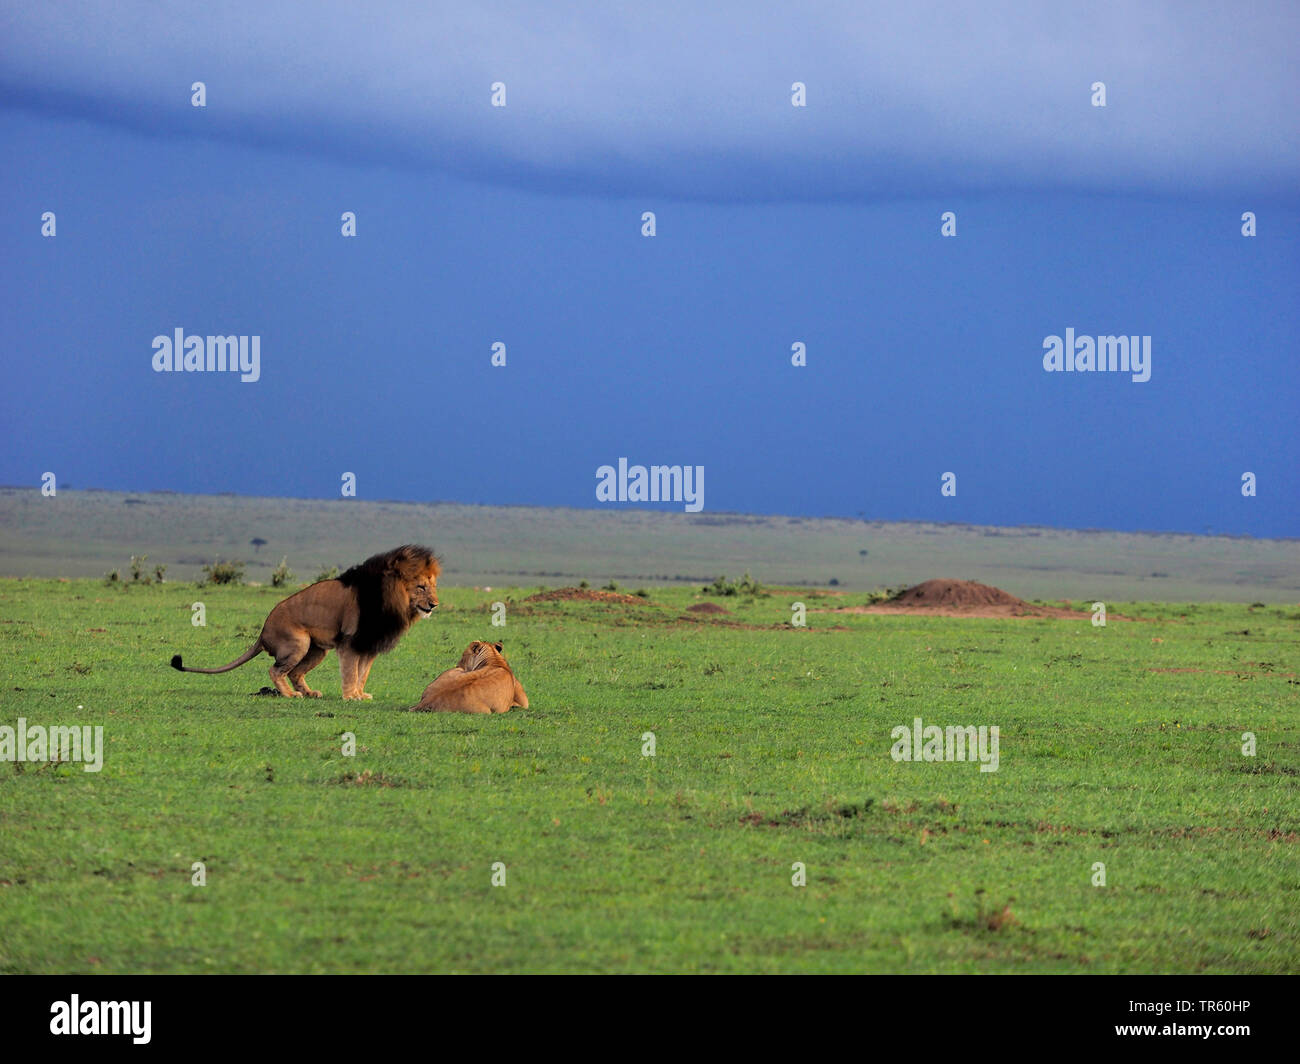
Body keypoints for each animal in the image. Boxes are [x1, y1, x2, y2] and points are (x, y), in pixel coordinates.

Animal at [170, 544, 441, 699]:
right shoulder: (351, 642)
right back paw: (290, 695)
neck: (393, 600)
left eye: (434, 586)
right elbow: (351, 672)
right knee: (276, 670)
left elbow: (362, 673)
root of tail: (262, 632)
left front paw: (361, 694)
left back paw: (310, 692)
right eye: (421, 587)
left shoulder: (369, 644)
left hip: (316, 650)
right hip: (298, 643)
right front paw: (350, 696)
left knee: (295, 673)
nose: (435, 604)